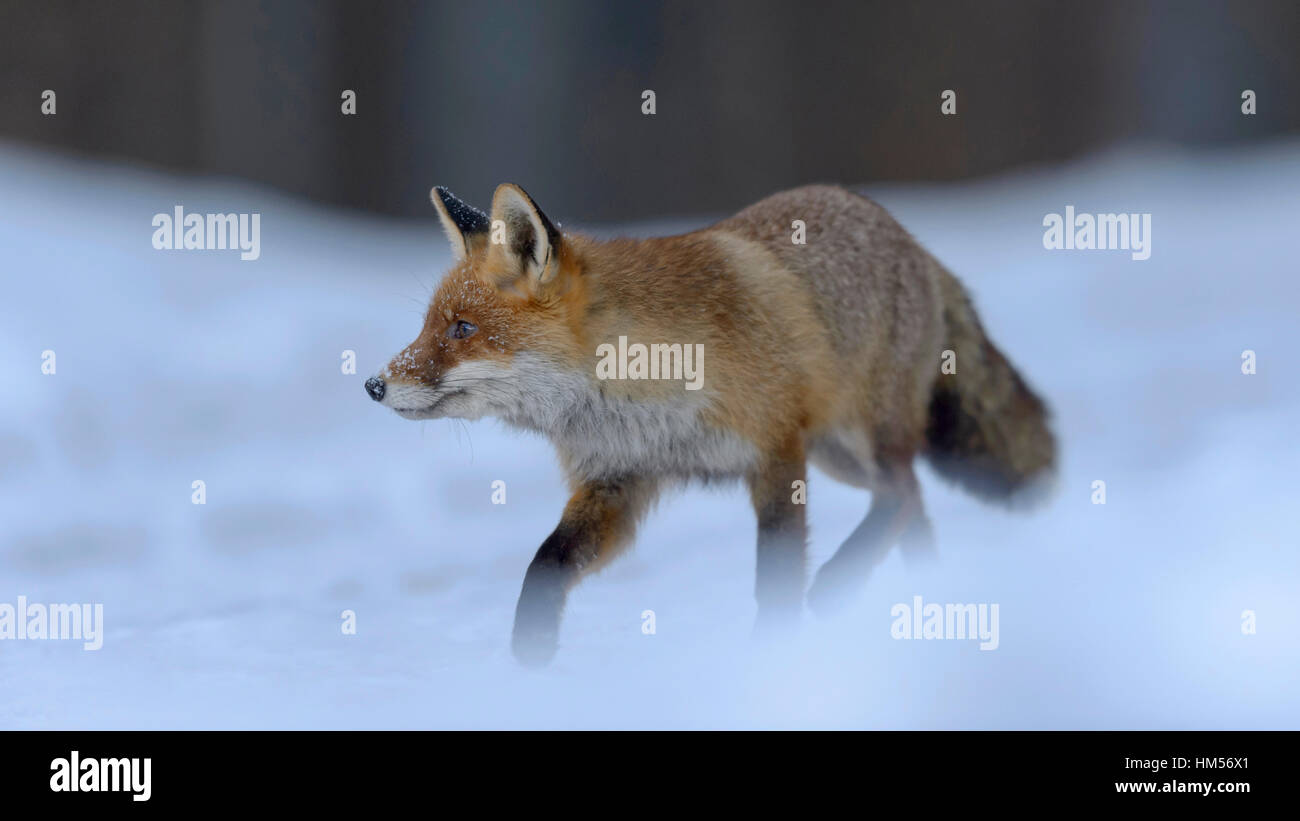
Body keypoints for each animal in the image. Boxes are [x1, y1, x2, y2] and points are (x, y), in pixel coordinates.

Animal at [367, 183, 1056, 666]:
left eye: (462, 329)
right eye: (427, 326)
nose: (373, 384)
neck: (643, 388)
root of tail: (912, 242)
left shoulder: (776, 453)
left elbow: (775, 584)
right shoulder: (620, 480)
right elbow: (544, 565)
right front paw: (527, 662)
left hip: (857, 440)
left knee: (904, 493)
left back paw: (845, 591)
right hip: (840, 456)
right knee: (913, 502)